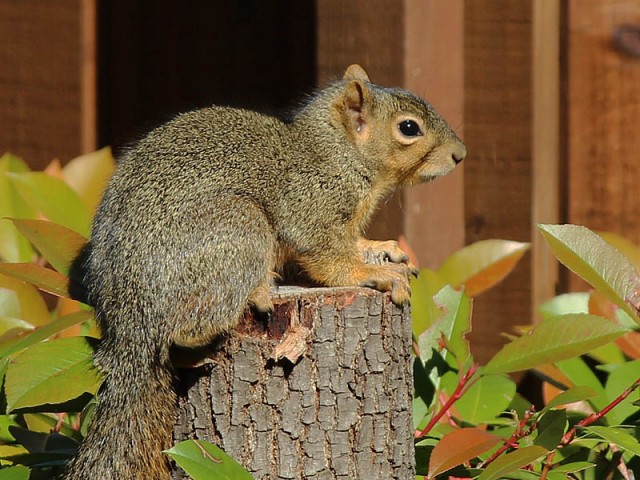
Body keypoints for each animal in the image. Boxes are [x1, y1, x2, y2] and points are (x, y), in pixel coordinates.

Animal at [63, 64, 466, 479]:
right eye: (409, 128)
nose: (460, 155)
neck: (338, 153)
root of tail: (128, 318)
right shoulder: (311, 208)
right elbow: (330, 261)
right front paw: (374, 274)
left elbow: (353, 245)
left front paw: (381, 250)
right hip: (240, 227)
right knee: (184, 330)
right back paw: (250, 297)